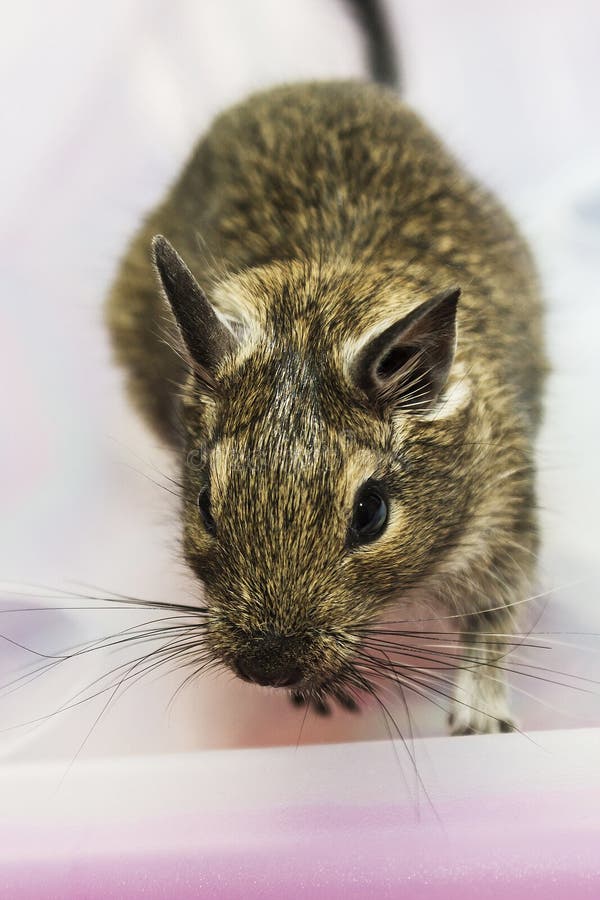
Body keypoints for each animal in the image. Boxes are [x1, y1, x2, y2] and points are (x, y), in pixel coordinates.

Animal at [106, 0, 546, 734]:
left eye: (370, 514)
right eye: (204, 502)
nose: (268, 669)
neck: (319, 314)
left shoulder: (504, 512)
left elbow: (492, 622)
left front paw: (480, 721)